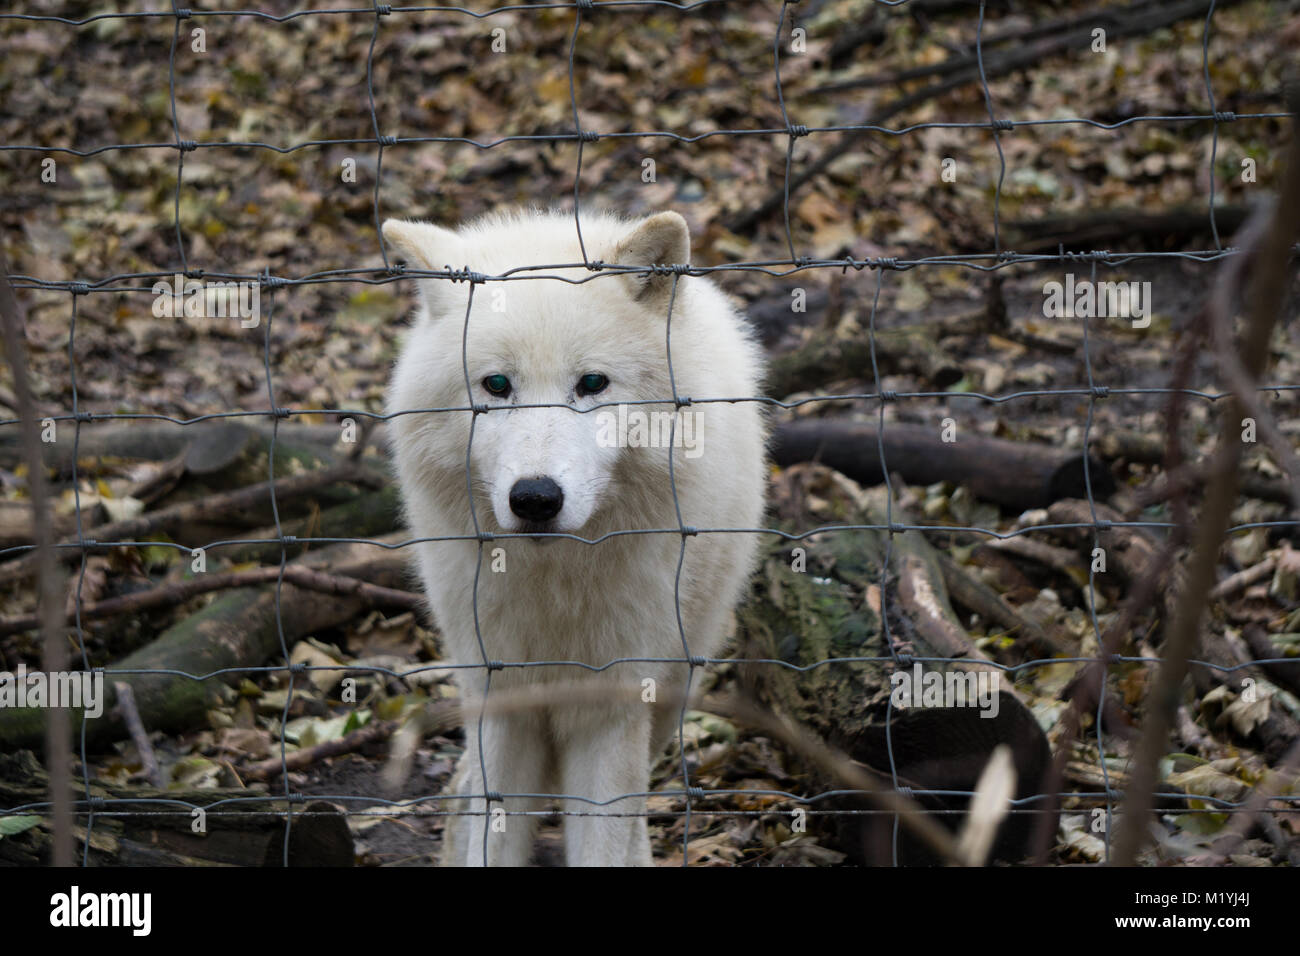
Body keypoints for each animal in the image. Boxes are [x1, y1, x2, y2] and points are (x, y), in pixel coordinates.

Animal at [383, 209, 767, 866]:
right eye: (496, 385)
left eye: (592, 383)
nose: (536, 498)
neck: (556, 591)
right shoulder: (501, 698)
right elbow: (492, 831)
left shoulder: (613, 707)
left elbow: (607, 839)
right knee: (465, 787)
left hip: (675, 682)